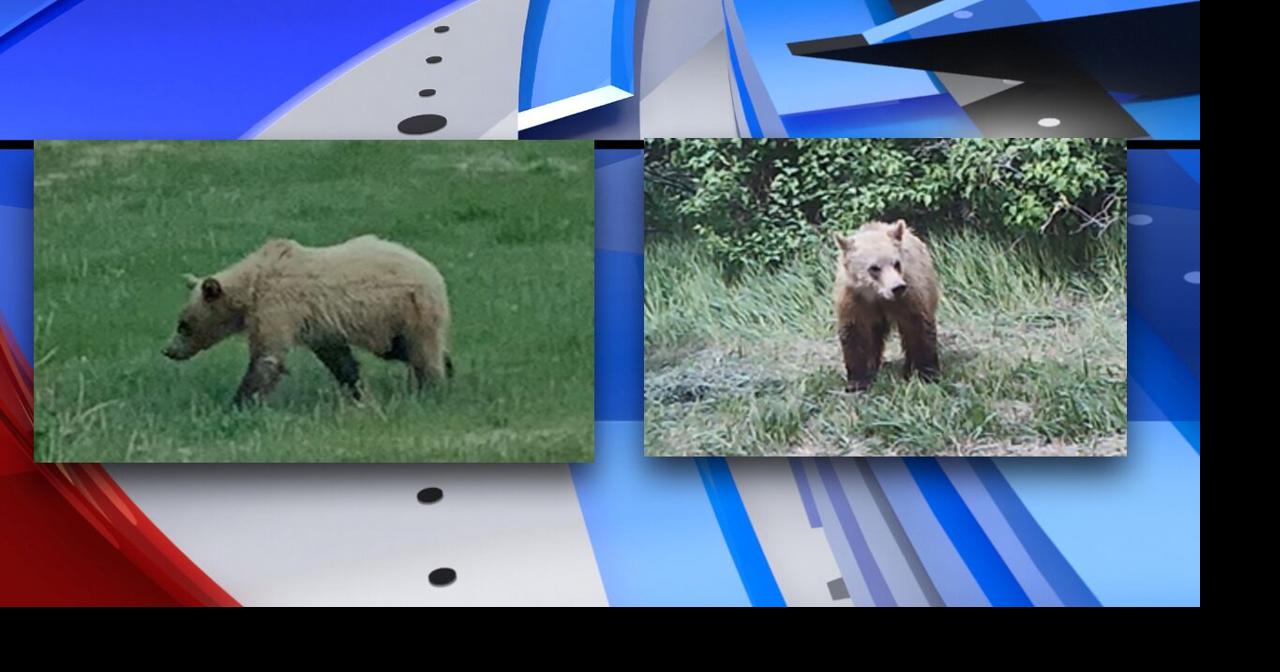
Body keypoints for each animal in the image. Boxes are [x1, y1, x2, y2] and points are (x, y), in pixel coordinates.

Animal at [162, 235, 452, 406]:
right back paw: (447, 368)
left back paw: (432, 387)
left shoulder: (277, 307)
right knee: (400, 350)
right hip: (392, 324)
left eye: (183, 324)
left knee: (422, 351)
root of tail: (432, 270)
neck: (250, 288)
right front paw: (358, 391)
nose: (168, 350)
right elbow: (338, 359)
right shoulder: (320, 327)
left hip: (410, 308)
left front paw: (239, 403)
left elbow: (267, 358)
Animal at [832, 219, 940, 392]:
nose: (897, 288)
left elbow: (918, 328)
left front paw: (926, 373)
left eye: (896, 263)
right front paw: (858, 381)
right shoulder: (853, 300)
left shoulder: (910, 295)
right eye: (874, 267)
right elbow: (855, 333)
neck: (877, 295)